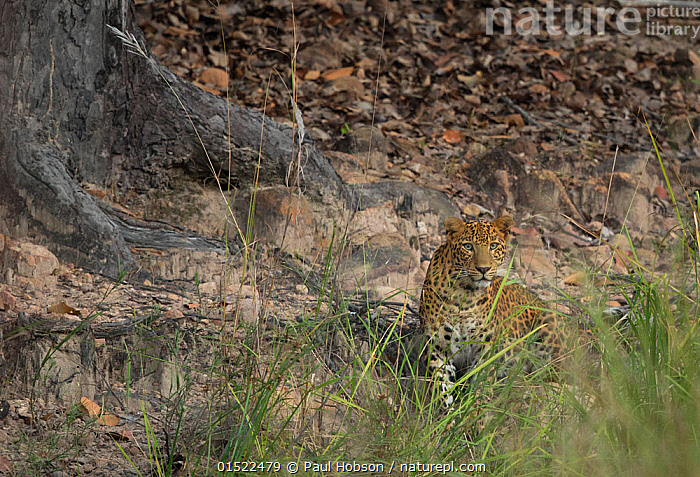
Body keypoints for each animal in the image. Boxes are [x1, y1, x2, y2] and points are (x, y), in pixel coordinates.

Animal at [419, 215, 573, 409]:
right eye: (468, 246)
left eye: (493, 246)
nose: (483, 269)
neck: (465, 293)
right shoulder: (438, 347)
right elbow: (441, 389)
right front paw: (445, 415)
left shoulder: (485, 348)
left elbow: (480, 385)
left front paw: (472, 414)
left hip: (548, 328)